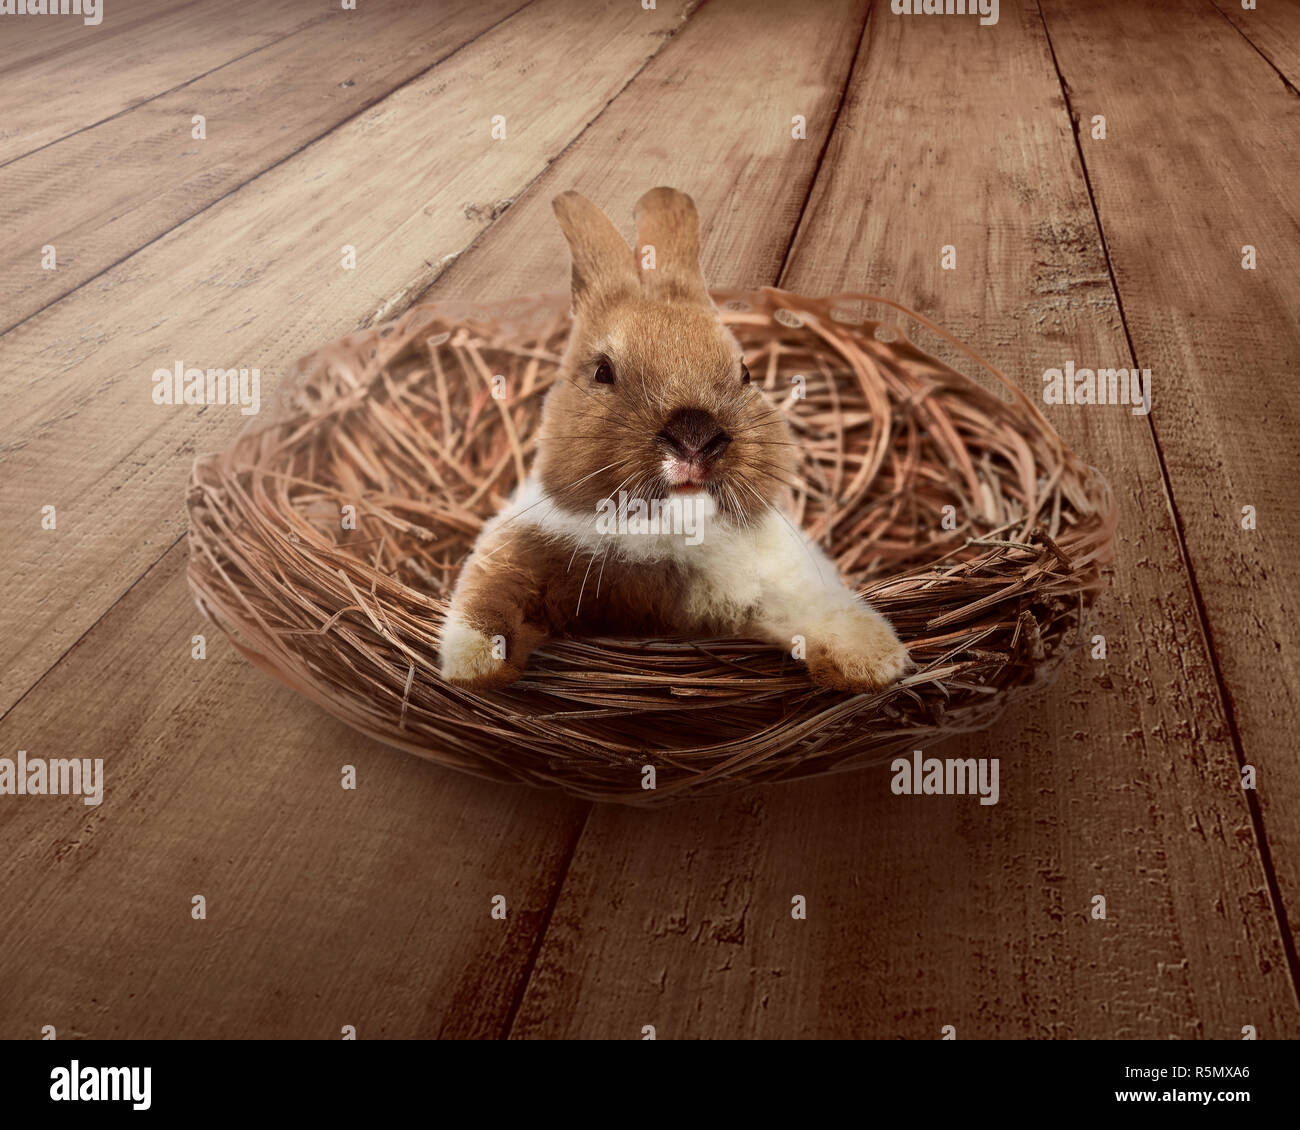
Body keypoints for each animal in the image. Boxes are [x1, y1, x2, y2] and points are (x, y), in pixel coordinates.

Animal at [438, 186, 910, 693]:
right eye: (602, 372)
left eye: (745, 372)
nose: (695, 438)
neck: (668, 534)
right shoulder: (511, 551)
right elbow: (487, 602)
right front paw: (472, 667)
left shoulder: (782, 584)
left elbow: (819, 610)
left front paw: (875, 662)